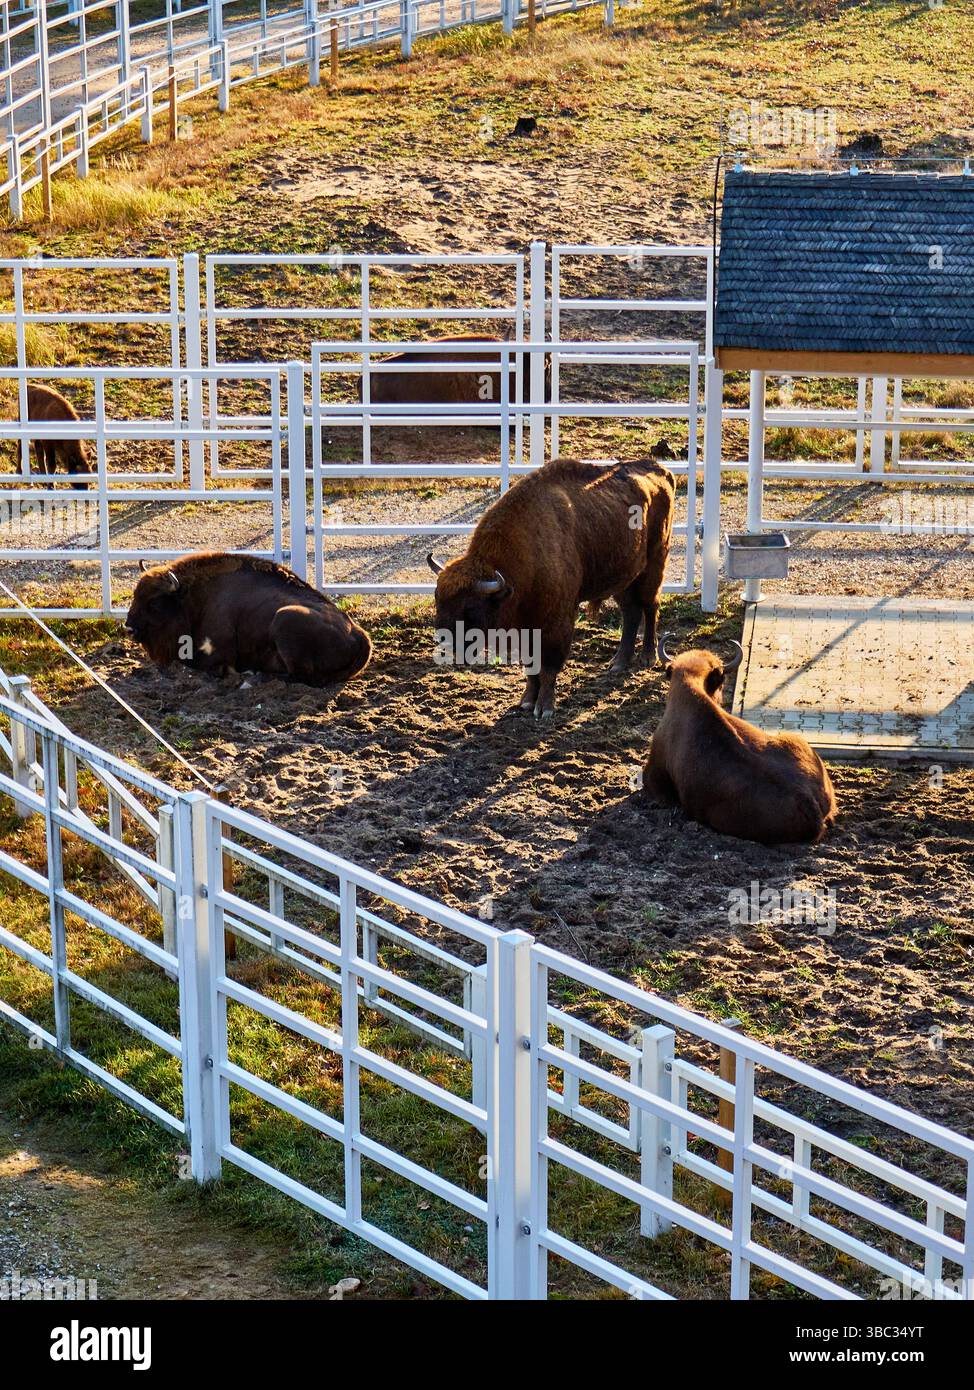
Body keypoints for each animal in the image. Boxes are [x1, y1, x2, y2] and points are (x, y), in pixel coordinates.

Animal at [125, 553, 372, 687]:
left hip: (285, 617)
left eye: (154, 603)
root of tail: (359, 635)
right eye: (135, 595)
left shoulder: (218, 657)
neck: (193, 597)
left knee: (298, 676)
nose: (129, 628)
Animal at [428, 456, 674, 719]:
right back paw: (617, 663)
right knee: (631, 612)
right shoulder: (525, 628)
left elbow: (548, 667)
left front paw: (544, 708)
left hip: (653, 566)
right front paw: (527, 701)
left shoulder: (556, 622)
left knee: (650, 606)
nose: (444, 640)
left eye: (471, 607)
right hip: (623, 578)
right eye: (437, 598)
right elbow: (531, 666)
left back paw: (647, 657)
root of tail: (660, 469)